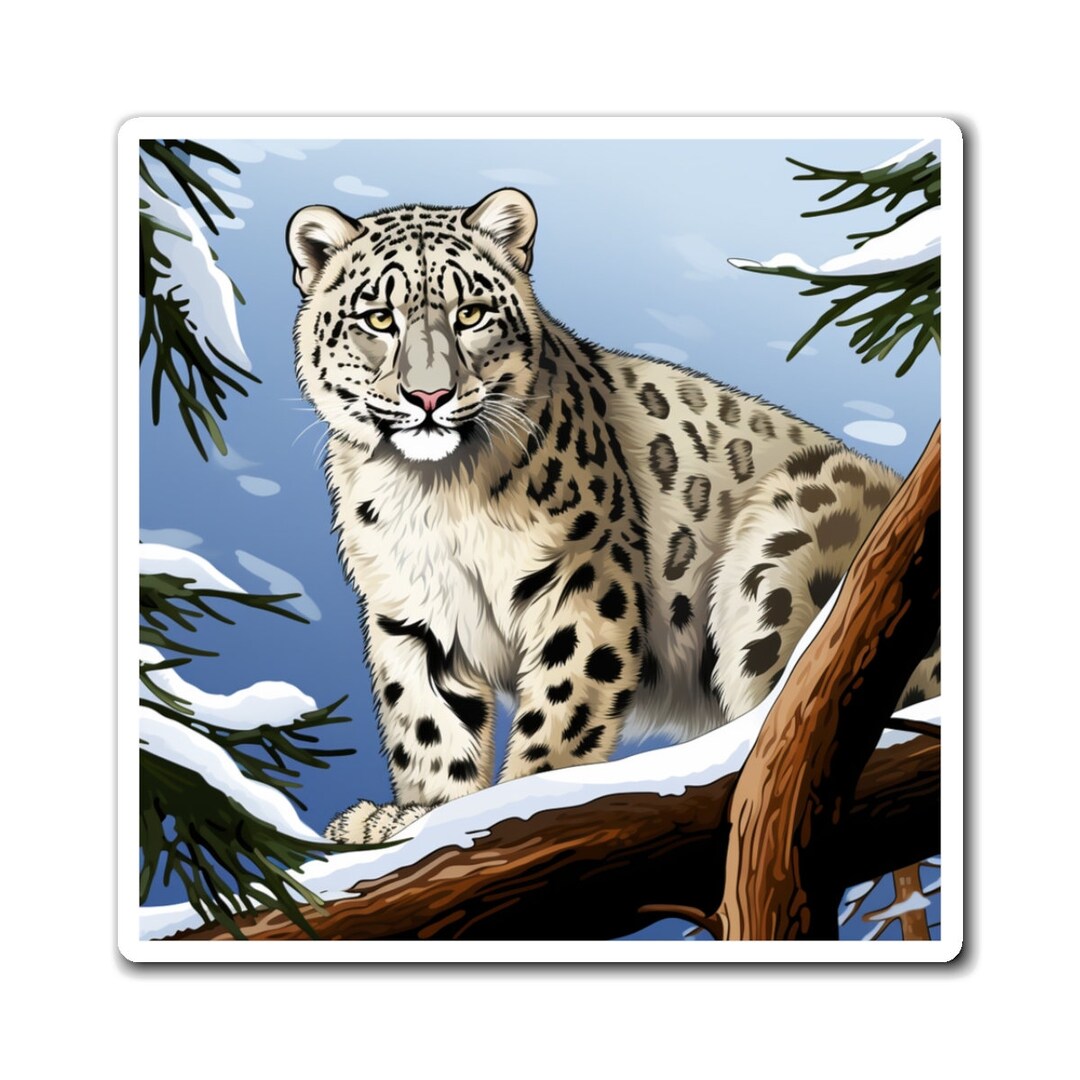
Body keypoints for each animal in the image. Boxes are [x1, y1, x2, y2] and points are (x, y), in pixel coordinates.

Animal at [286, 188, 939, 844]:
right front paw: (423, 818)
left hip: (792, 538)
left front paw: (528, 795)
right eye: (378, 319)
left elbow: (563, 703)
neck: (434, 493)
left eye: (470, 313)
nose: (429, 396)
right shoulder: (411, 613)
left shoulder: (580, 579)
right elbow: (428, 724)